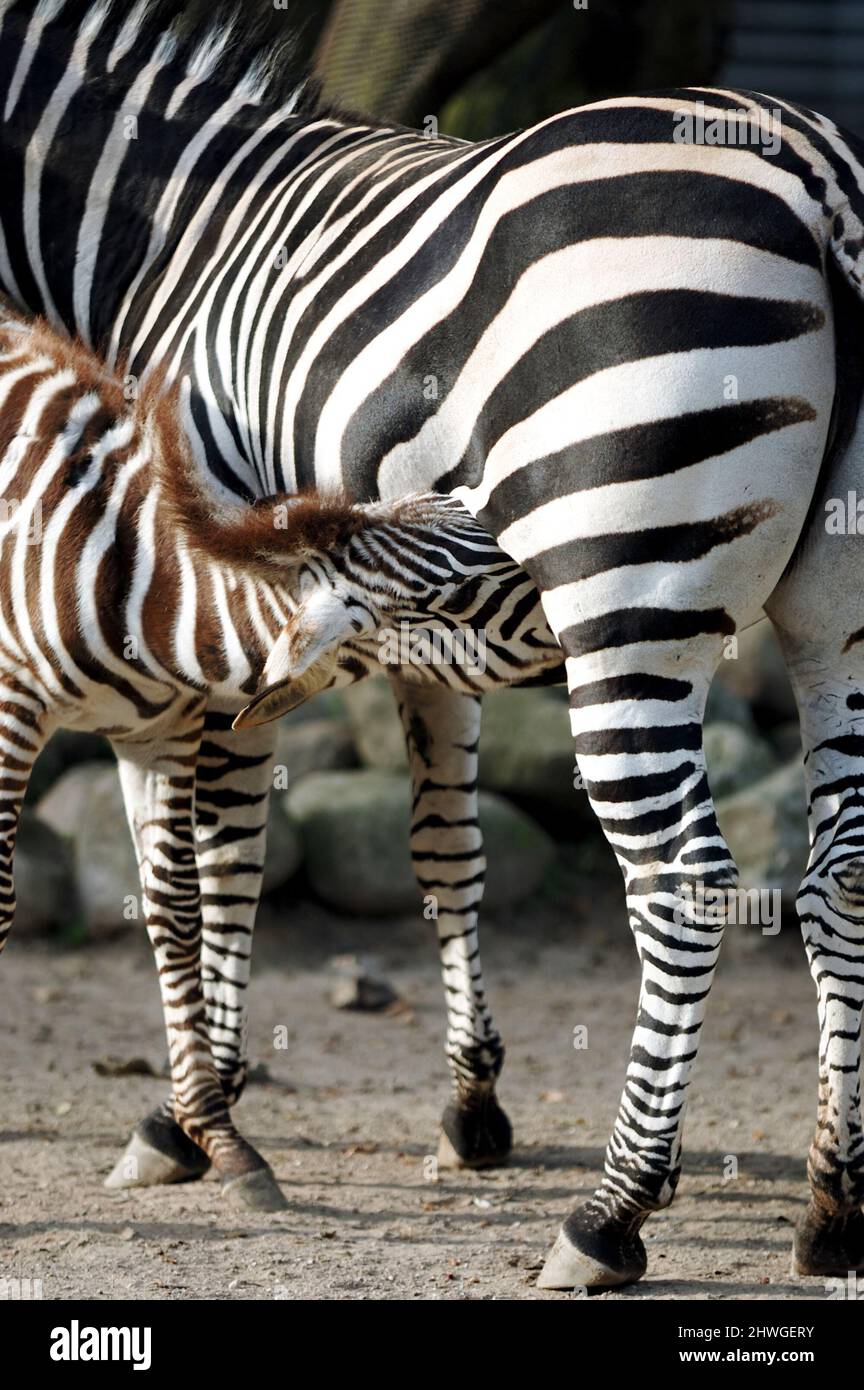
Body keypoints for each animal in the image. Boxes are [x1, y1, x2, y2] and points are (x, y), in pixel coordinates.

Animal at [0, 300, 564, 1204]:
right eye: (463, 594)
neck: (140, 587)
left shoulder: (160, 733)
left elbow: (179, 913)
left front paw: (214, 1136)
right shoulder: (13, 709)